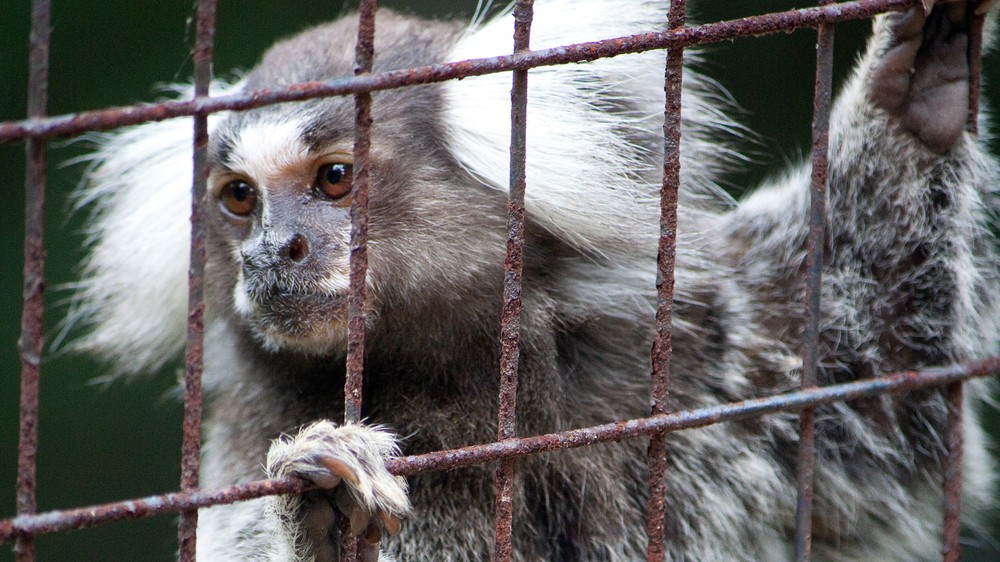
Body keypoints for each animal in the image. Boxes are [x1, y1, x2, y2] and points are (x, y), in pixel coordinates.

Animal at [67, 0, 1000, 560]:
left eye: (334, 179)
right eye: (240, 198)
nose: (273, 251)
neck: (459, 375)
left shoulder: (696, 350)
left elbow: (876, 371)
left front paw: (914, 84)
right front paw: (329, 522)